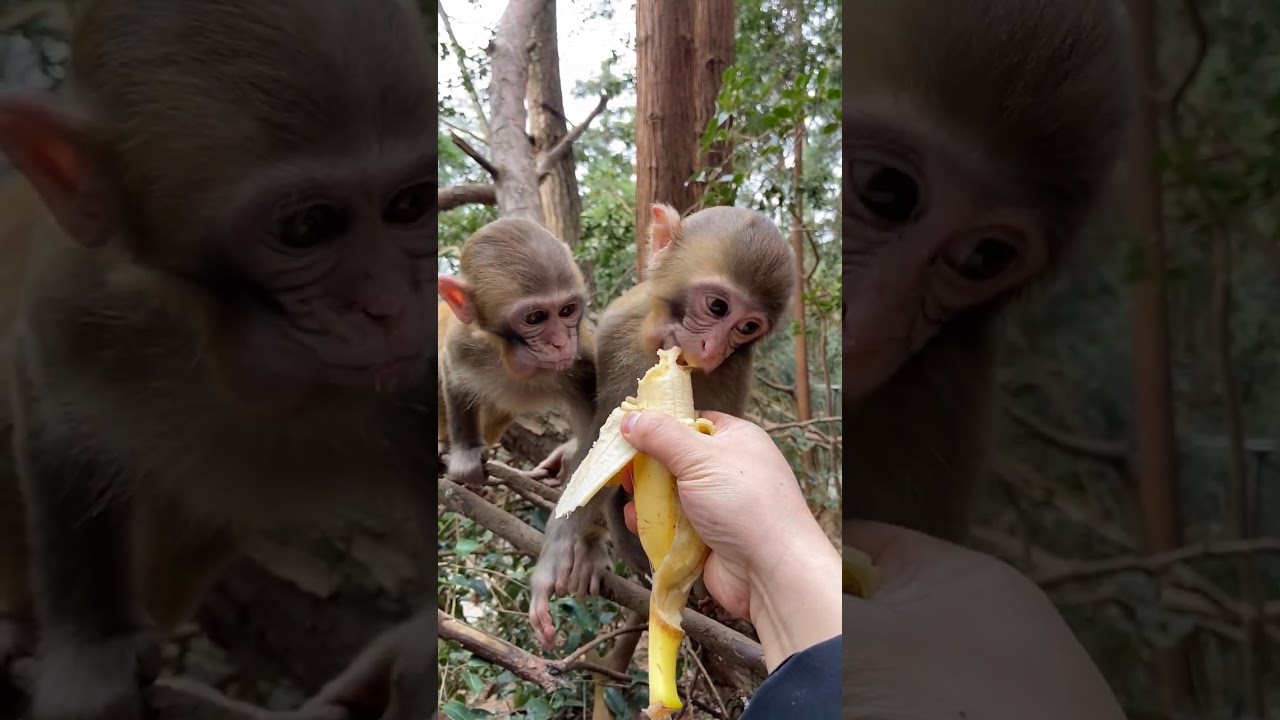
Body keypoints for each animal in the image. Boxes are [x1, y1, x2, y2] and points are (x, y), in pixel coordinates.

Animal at [0, 0, 439, 717]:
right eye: (307, 227)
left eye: (409, 204)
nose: (389, 304)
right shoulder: (80, 303)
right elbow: (48, 404)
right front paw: (94, 647)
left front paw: (407, 655)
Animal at [436, 217, 596, 489]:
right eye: (535, 317)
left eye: (567, 310)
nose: (561, 342)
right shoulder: (463, 342)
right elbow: (453, 374)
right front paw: (466, 451)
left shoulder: (584, 358)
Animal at [528, 202, 797, 649]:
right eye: (718, 307)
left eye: (747, 328)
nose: (711, 349)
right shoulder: (617, 330)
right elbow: (598, 434)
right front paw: (560, 549)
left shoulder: (736, 371)